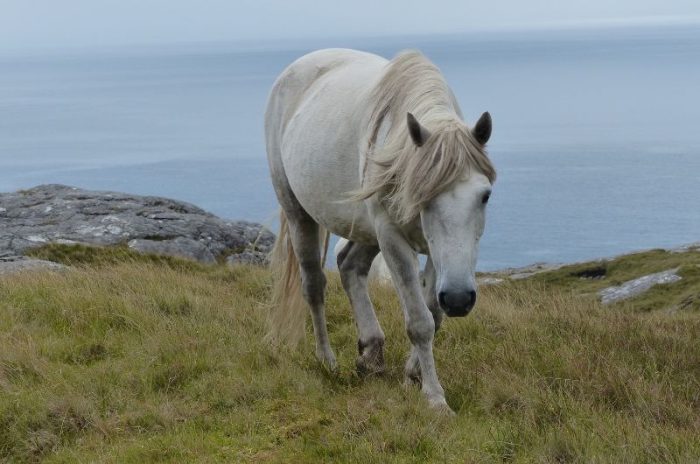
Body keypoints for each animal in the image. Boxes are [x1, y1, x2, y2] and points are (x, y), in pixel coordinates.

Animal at [265, 48, 496, 412]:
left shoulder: (435, 251)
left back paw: (370, 352)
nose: (459, 299)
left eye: (485, 195)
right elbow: (419, 321)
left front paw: (413, 374)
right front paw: (435, 398)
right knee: (314, 285)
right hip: (299, 213)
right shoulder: (392, 236)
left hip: (365, 229)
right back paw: (327, 360)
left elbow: (434, 313)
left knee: (349, 264)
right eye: (424, 199)